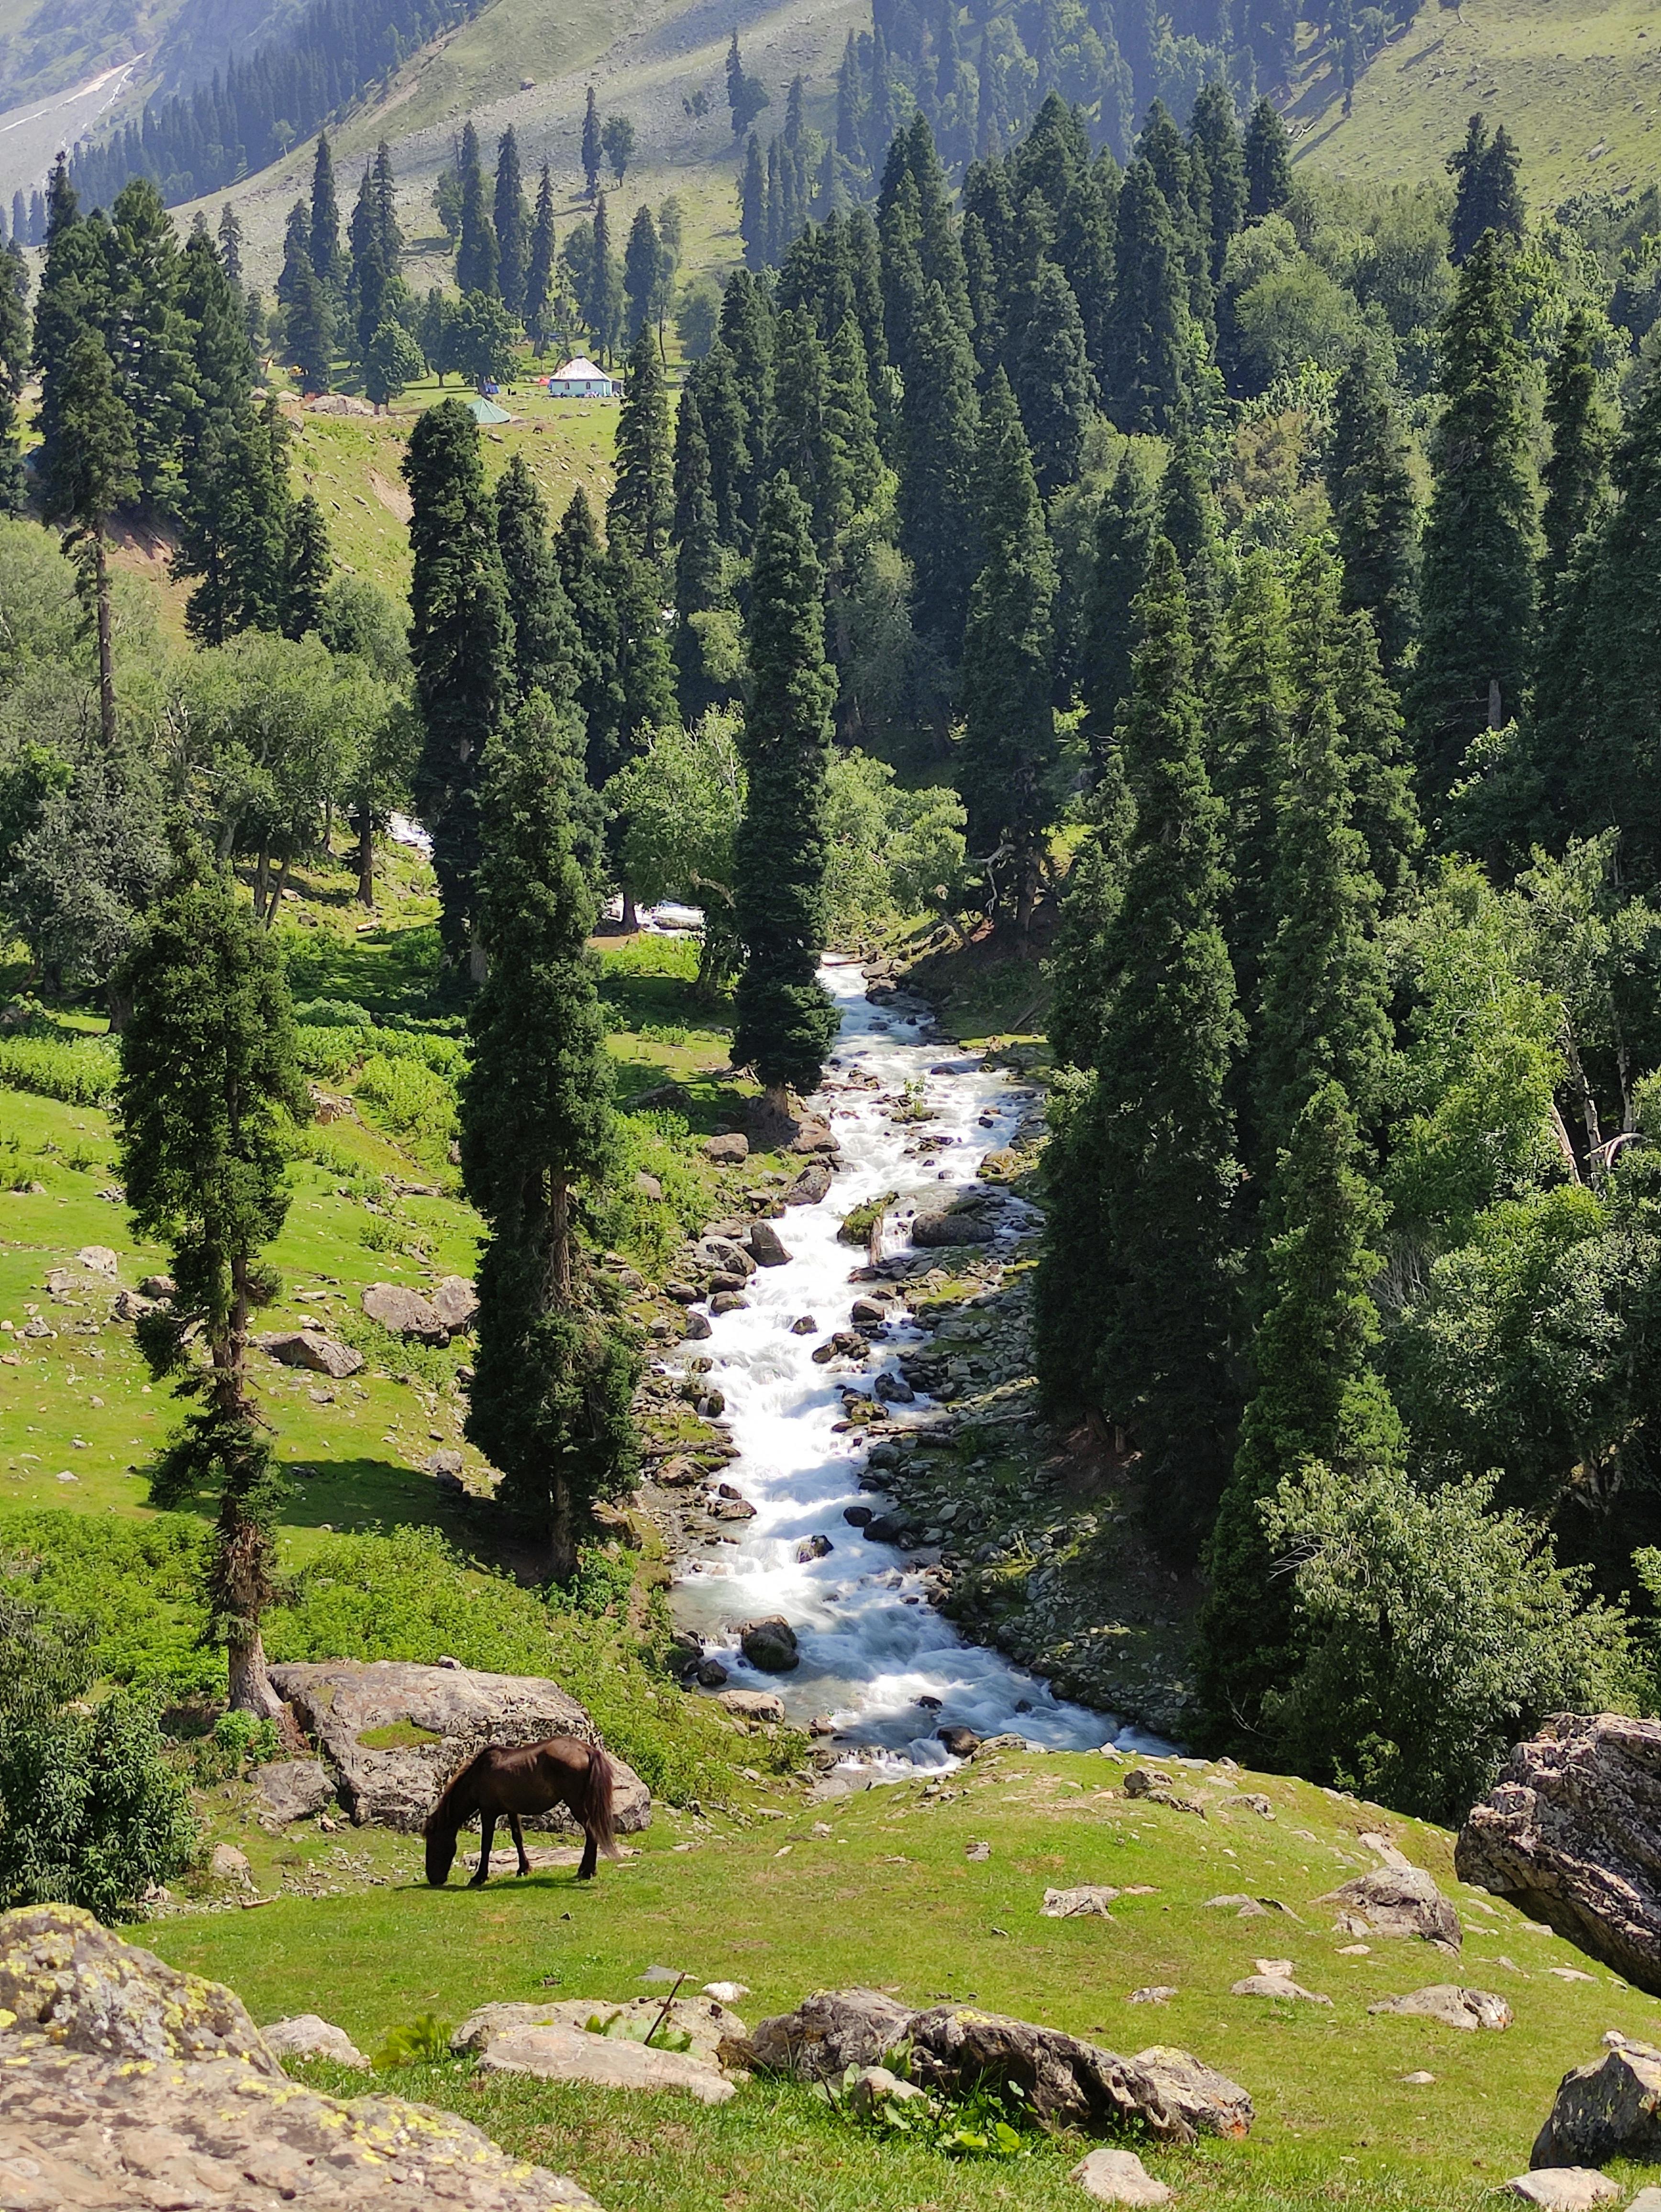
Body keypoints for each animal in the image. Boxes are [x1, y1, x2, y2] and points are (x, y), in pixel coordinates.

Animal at [423, 1736, 621, 1888]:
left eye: (433, 1843)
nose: (434, 1879)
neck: (479, 1774)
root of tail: (587, 1750)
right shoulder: (512, 1811)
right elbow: (517, 1838)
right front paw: (524, 1869)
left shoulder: (488, 1812)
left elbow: (486, 1844)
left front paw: (479, 1877)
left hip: (576, 1804)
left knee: (591, 1831)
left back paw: (586, 1871)